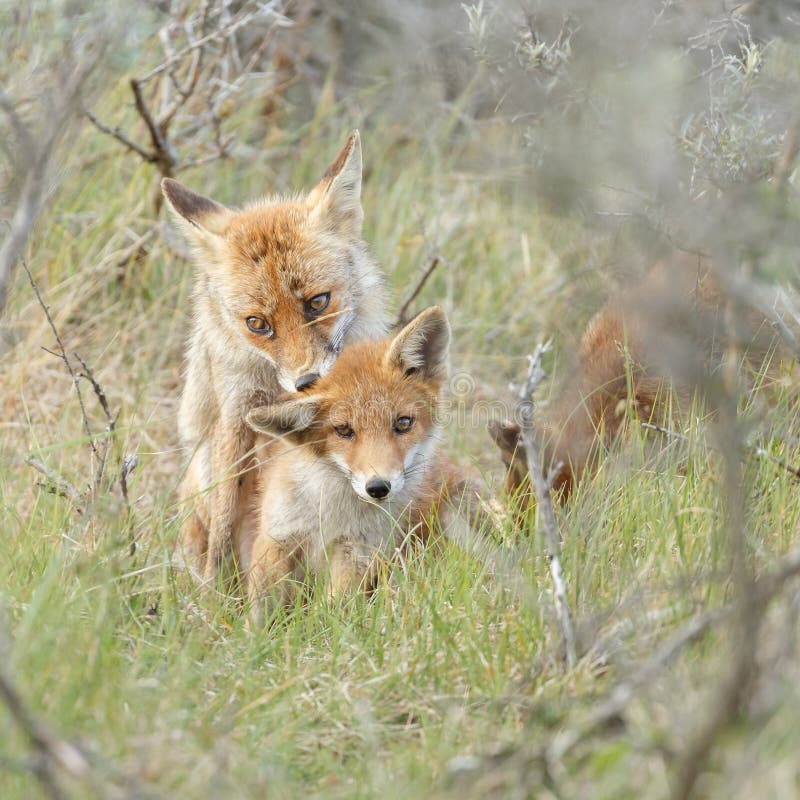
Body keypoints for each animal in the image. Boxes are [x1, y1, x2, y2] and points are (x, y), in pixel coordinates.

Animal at [161, 131, 388, 581]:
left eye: (318, 302)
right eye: (257, 324)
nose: (306, 383)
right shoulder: (236, 417)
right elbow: (223, 525)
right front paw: (214, 594)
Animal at [238, 306, 477, 624]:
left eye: (403, 423)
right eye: (343, 430)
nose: (378, 487)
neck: (330, 511)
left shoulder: (359, 551)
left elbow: (329, 614)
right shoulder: (278, 538)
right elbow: (262, 612)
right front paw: (253, 635)